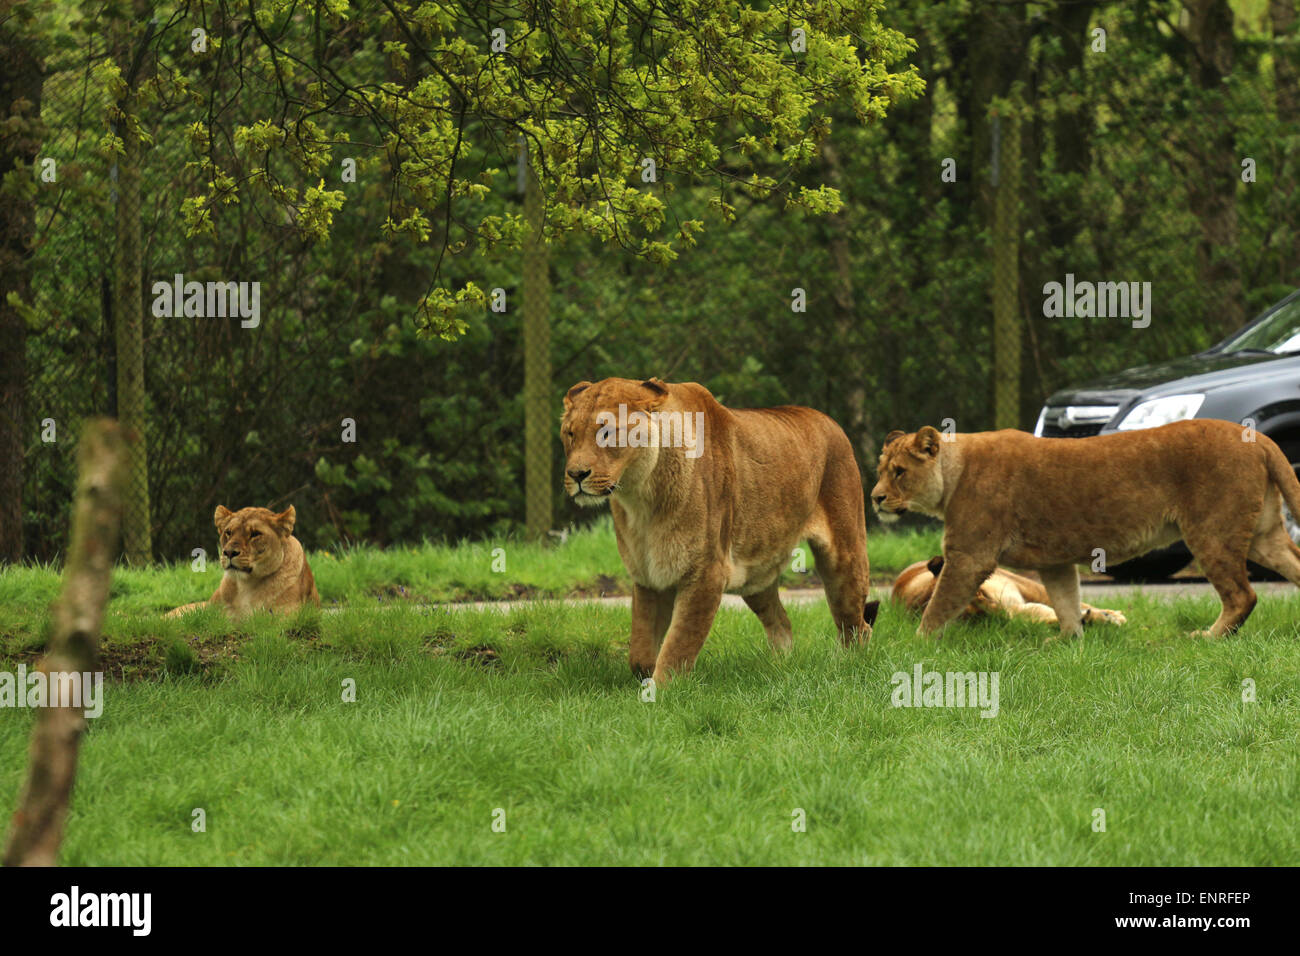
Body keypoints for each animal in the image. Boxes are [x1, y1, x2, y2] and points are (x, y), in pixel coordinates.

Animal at [562, 377, 877, 685]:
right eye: (570, 434)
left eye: (607, 433)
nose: (576, 475)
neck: (641, 498)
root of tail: (830, 421)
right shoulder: (648, 576)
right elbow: (639, 652)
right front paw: (645, 676)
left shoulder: (706, 573)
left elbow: (679, 646)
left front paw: (660, 691)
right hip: (754, 575)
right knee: (782, 621)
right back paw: (780, 669)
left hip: (844, 558)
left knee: (857, 626)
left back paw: (846, 667)